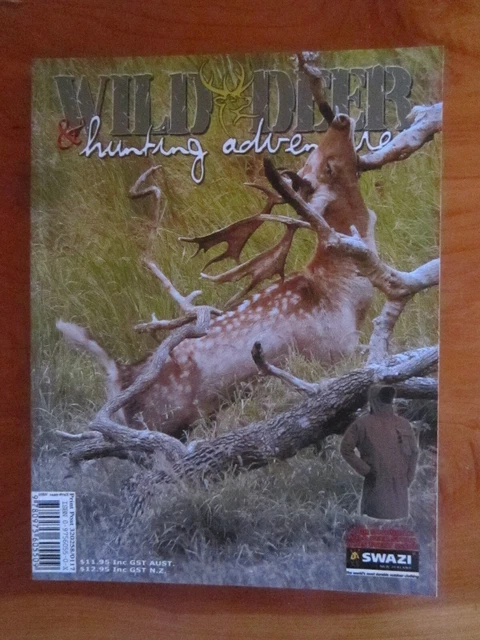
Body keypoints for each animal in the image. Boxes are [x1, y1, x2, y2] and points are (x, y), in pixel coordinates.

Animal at [57, 54, 379, 439]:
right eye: (325, 165)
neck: (345, 294)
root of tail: (118, 375)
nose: (342, 119)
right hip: (166, 416)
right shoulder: (334, 350)